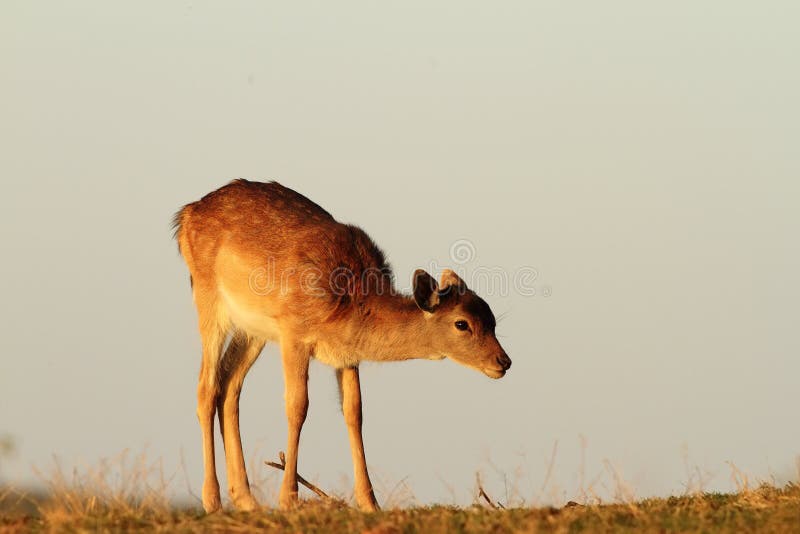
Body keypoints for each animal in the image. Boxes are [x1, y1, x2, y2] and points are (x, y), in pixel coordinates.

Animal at [172, 179, 511, 513]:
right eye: (462, 323)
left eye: (492, 318)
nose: (503, 362)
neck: (352, 301)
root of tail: (186, 215)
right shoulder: (294, 334)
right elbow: (297, 405)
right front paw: (288, 499)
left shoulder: (346, 356)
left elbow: (354, 412)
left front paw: (370, 503)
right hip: (209, 299)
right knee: (206, 387)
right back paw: (213, 499)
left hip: (253, 330)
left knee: (229, 385)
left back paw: (246, 499)